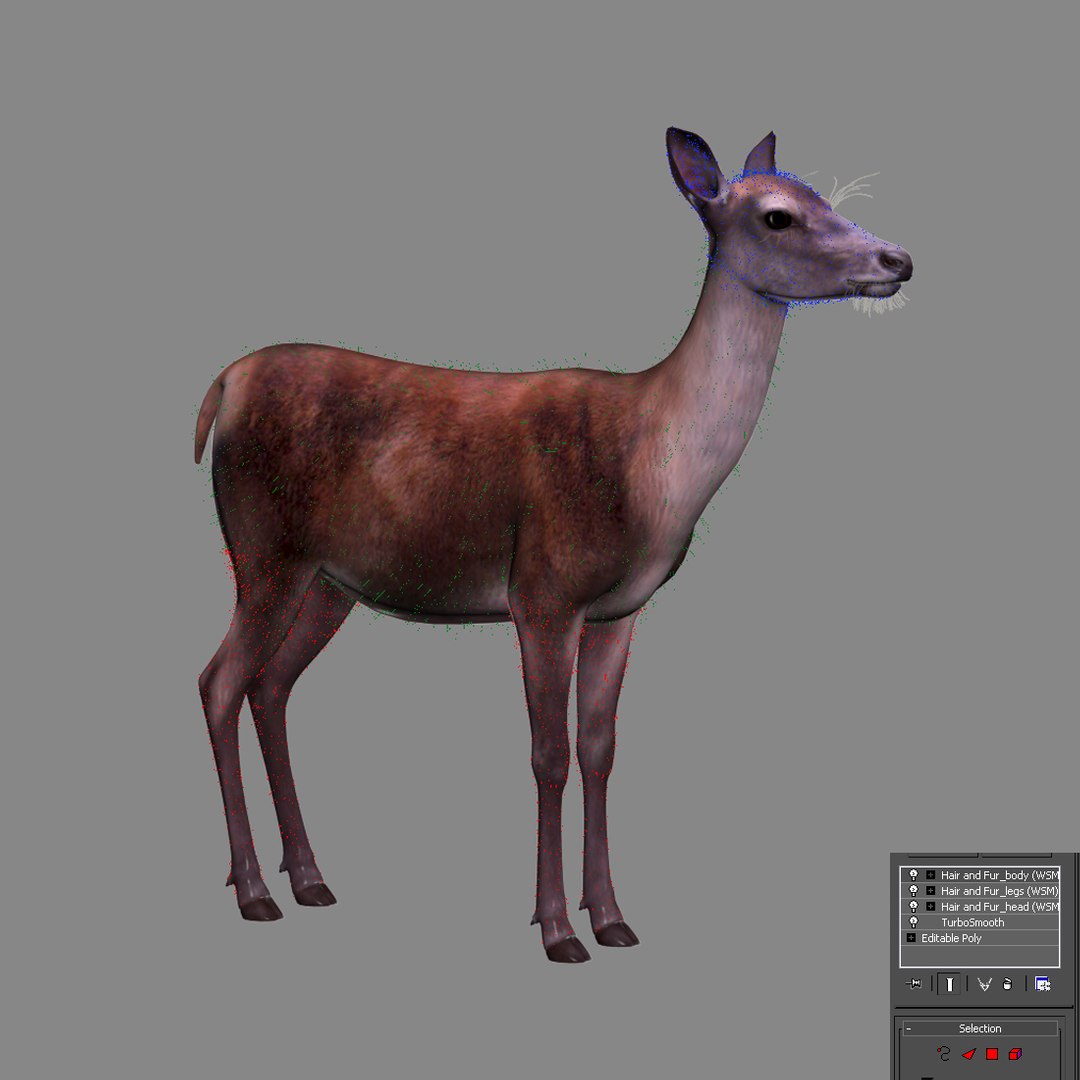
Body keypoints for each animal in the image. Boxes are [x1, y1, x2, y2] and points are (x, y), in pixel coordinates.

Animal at [194, 127, 912, 962]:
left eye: (821, 196)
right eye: (777, 215)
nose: (897, 259)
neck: (654, 471)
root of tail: (223, 386)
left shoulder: (618, 610)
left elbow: (599, 749)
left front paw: (613, 918)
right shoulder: (543, 592)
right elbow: (549, 755)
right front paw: (558, 930)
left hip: (329, 582)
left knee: (270, 686)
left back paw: (309, 878)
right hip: (263, 548)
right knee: (219, 680)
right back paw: (254, 891)